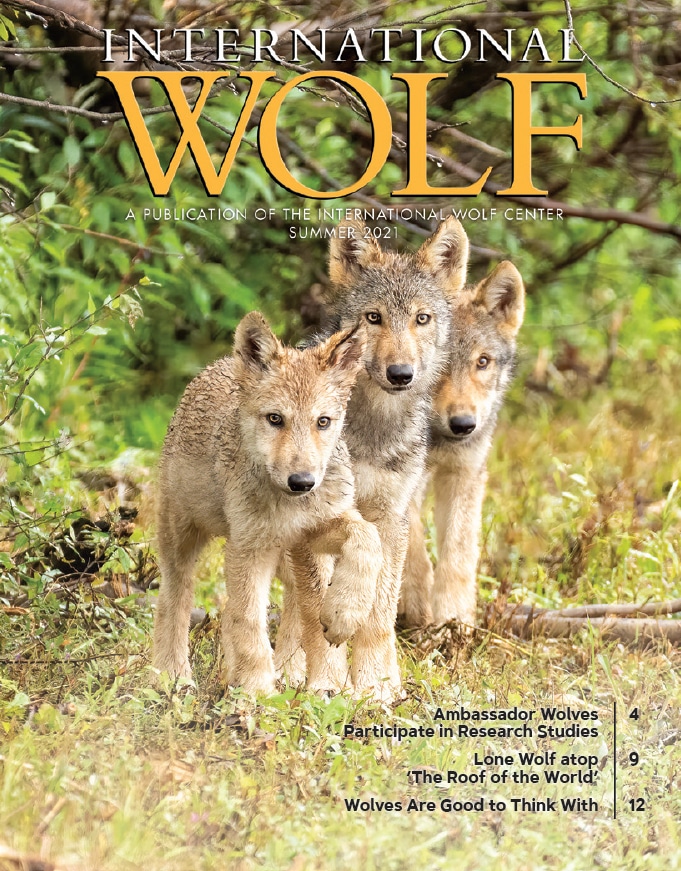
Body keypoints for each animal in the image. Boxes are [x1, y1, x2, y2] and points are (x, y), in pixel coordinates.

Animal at [153, 311, 382, 695]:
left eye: (323, 422)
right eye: (276, 419)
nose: (302, 482)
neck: (290, 507)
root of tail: (216, 365)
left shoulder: (315, 532)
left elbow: (368, 538)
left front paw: (344, 614)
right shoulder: (250, 548)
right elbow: (248, 622)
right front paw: (257, 690)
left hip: (289, 557)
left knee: (294, 605)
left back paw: (294, 673)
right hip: (183, 542)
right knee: (174, 602)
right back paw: (173, 674)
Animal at [276, 217, 470, 699]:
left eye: (422, 318)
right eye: (374, 317)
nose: (401, 374)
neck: (372, 434)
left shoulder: (388, 517)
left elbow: (378, 616)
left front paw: (375, 688)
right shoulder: (315, 520)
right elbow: (315, 610)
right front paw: (326, 684)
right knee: (293, 607)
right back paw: (289, 671)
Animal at [399, 260, 525, 631]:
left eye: (482, 362)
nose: (464, 424)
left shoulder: (464, 473)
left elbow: (458, 552)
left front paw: (455, 620)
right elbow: (416, 551)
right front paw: (418, 610)